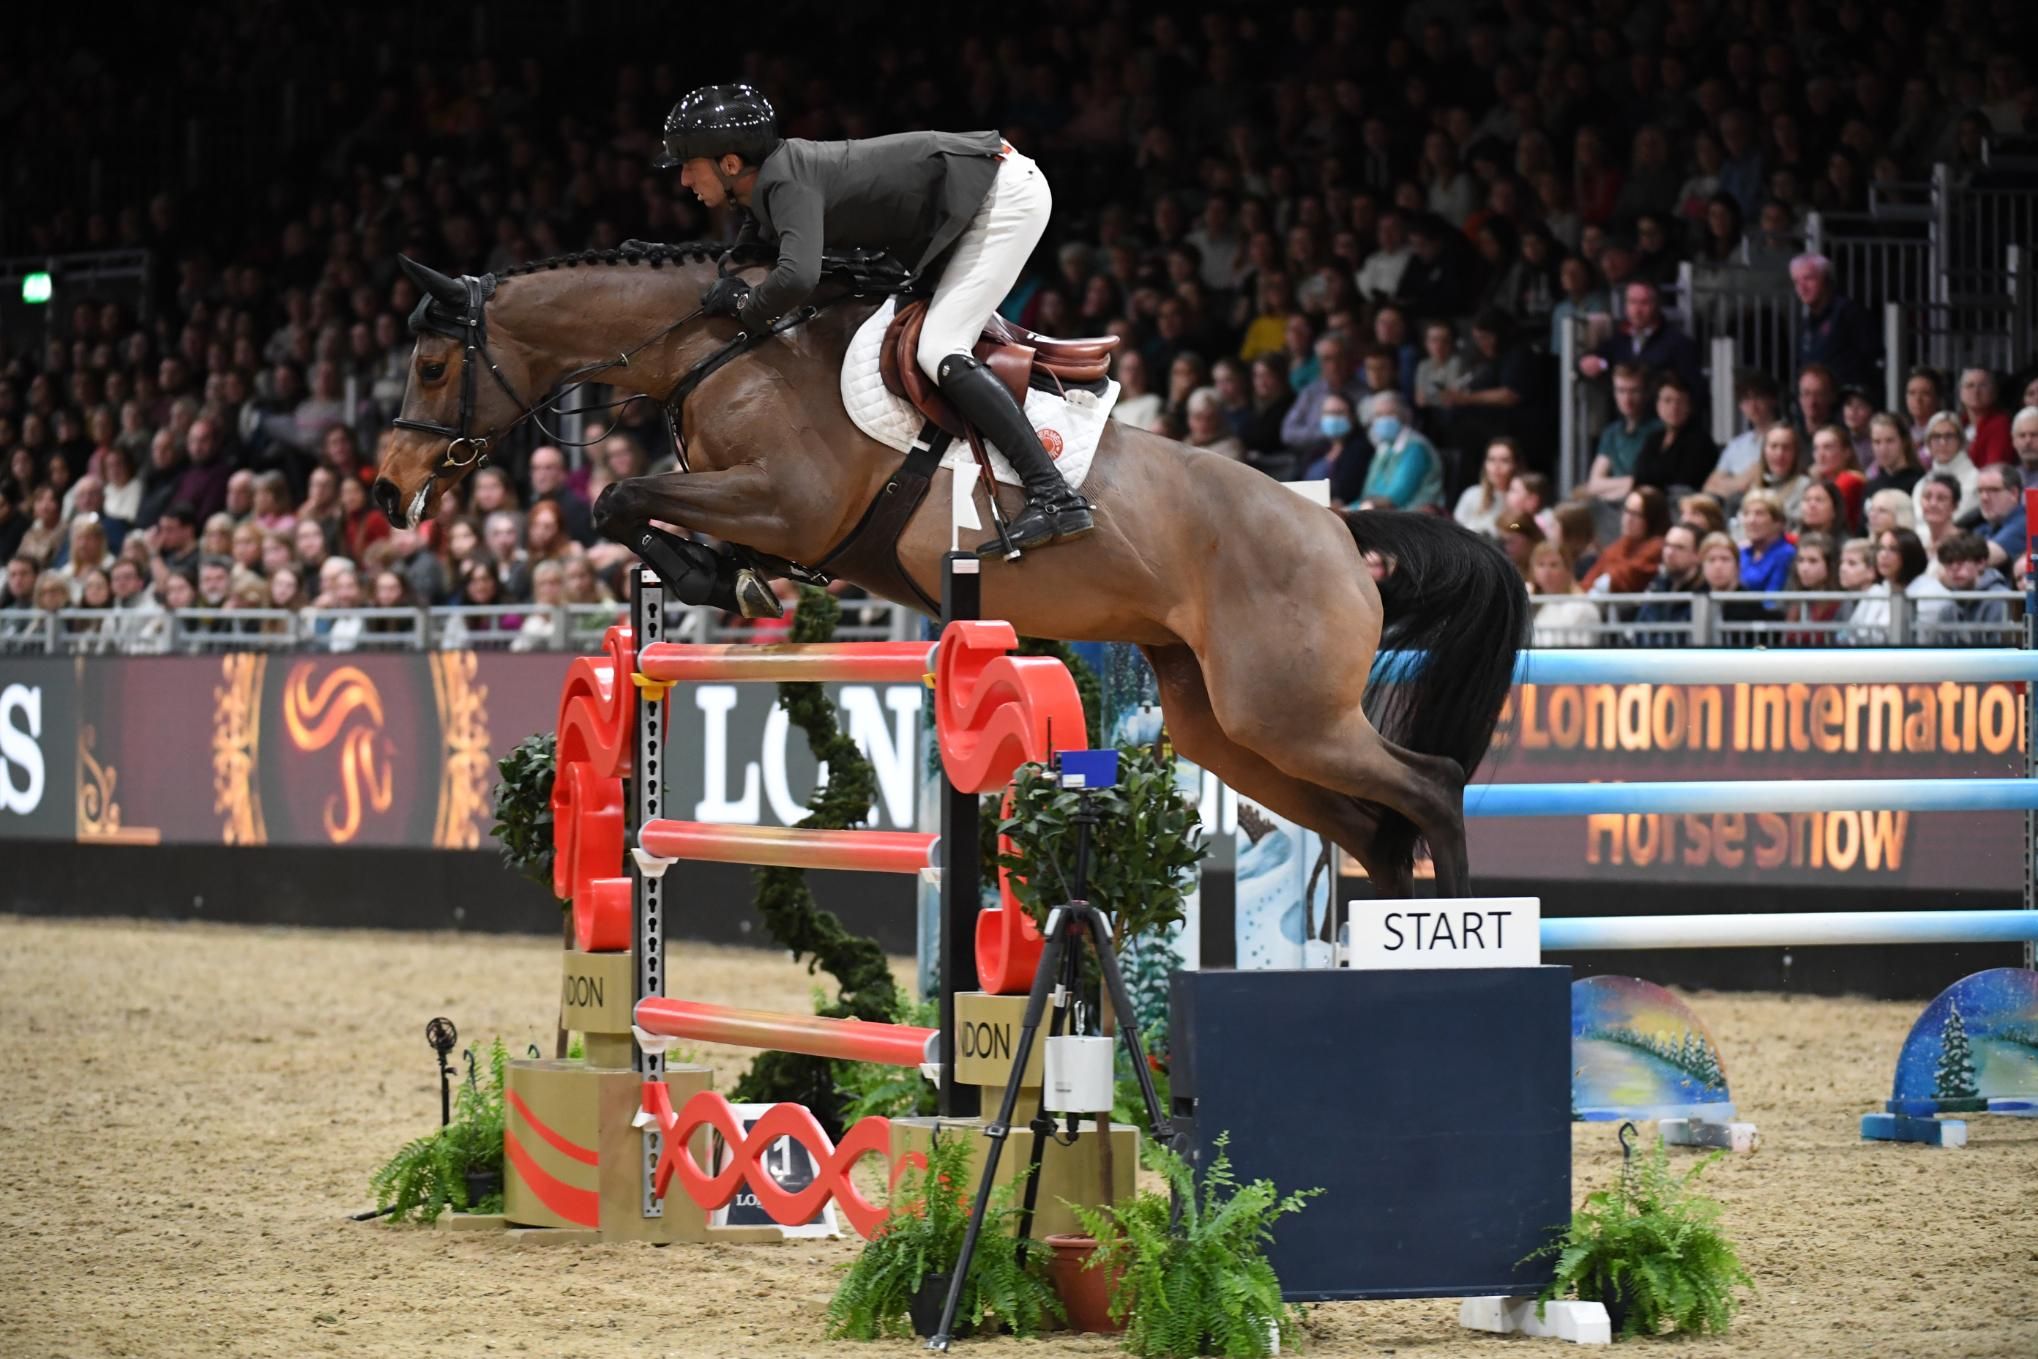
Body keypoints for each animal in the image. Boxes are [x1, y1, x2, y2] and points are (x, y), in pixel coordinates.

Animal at [373, 244, 1528, 897]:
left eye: (430, 365)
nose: (387, 490)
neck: (719, 351)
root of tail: (1336, 528)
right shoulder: (750, 502)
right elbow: (652, 511)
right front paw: (724, 579)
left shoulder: (790, 502)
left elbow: (620, 497)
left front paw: (715, 579)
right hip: (1225, 723)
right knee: (1369, 826)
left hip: (1287, 711)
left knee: (1427, 788)